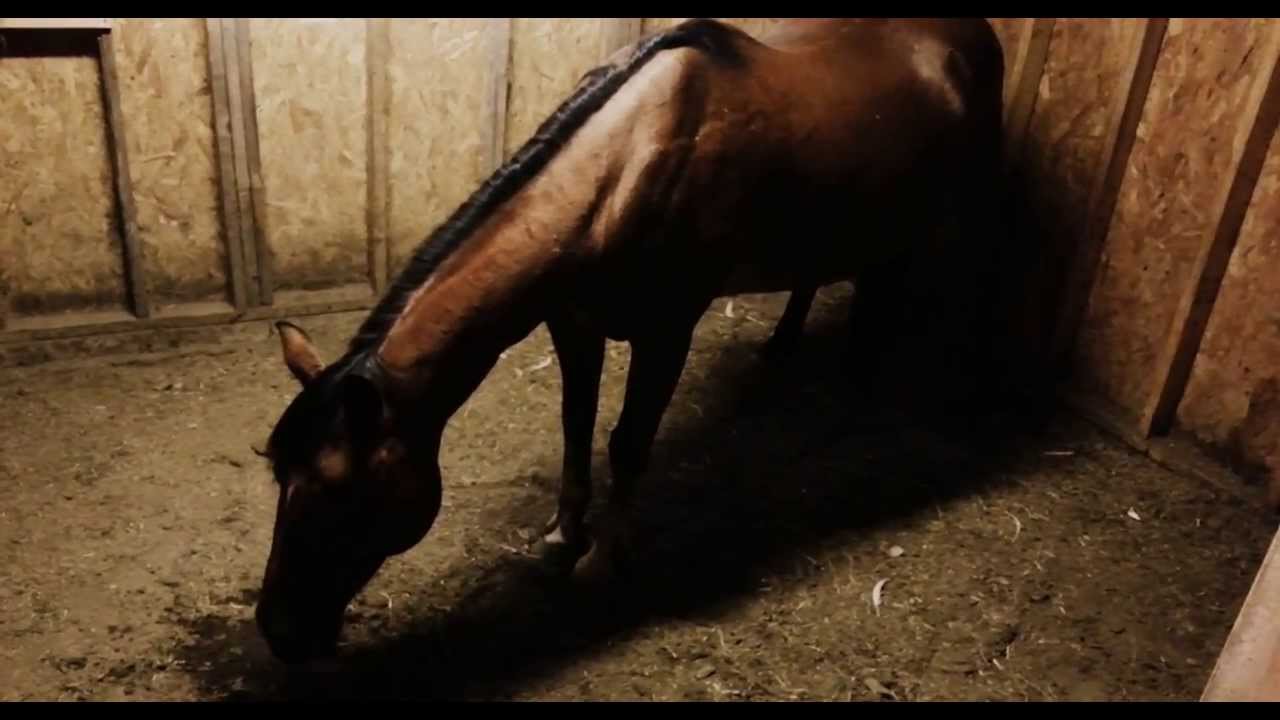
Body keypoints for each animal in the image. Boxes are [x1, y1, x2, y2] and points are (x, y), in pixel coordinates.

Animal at [252, 18, 1006, 664]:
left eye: (340, 487)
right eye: (279, 475)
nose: (279, 632)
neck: (622, 178)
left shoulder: (666, 333)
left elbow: (627, 443)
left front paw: (604, 560)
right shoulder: (573, 325)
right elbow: (575, 428)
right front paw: (562, 535)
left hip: (922, 221)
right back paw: (785, 347)